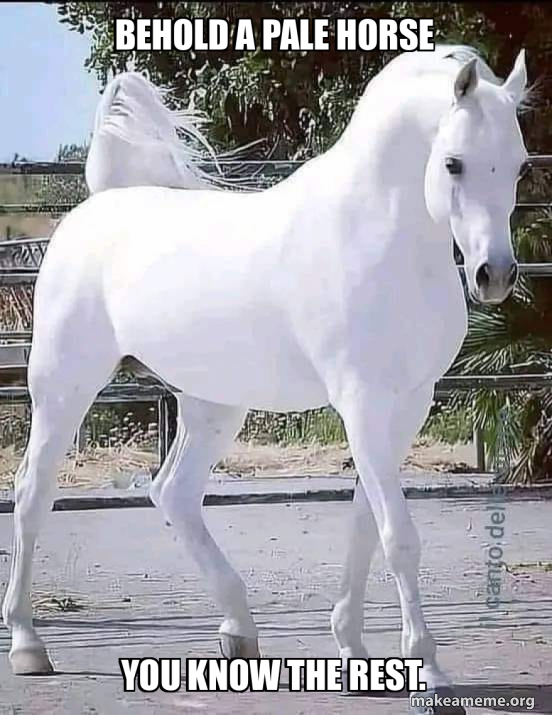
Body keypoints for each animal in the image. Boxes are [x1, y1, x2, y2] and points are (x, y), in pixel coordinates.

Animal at [2, 46, 527, 713]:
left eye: (518, 165)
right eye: (454, 162)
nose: (494, 275)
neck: (378, 237)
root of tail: (99, 204)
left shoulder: (405, 406)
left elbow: (364, 525)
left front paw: (353, 650)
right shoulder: (362, 404)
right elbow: (397, 536)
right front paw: (428, 668)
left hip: (212, 405)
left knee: (173, 493)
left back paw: (239, 632)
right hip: (65, 385)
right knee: (33, 492)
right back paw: (28, 644)